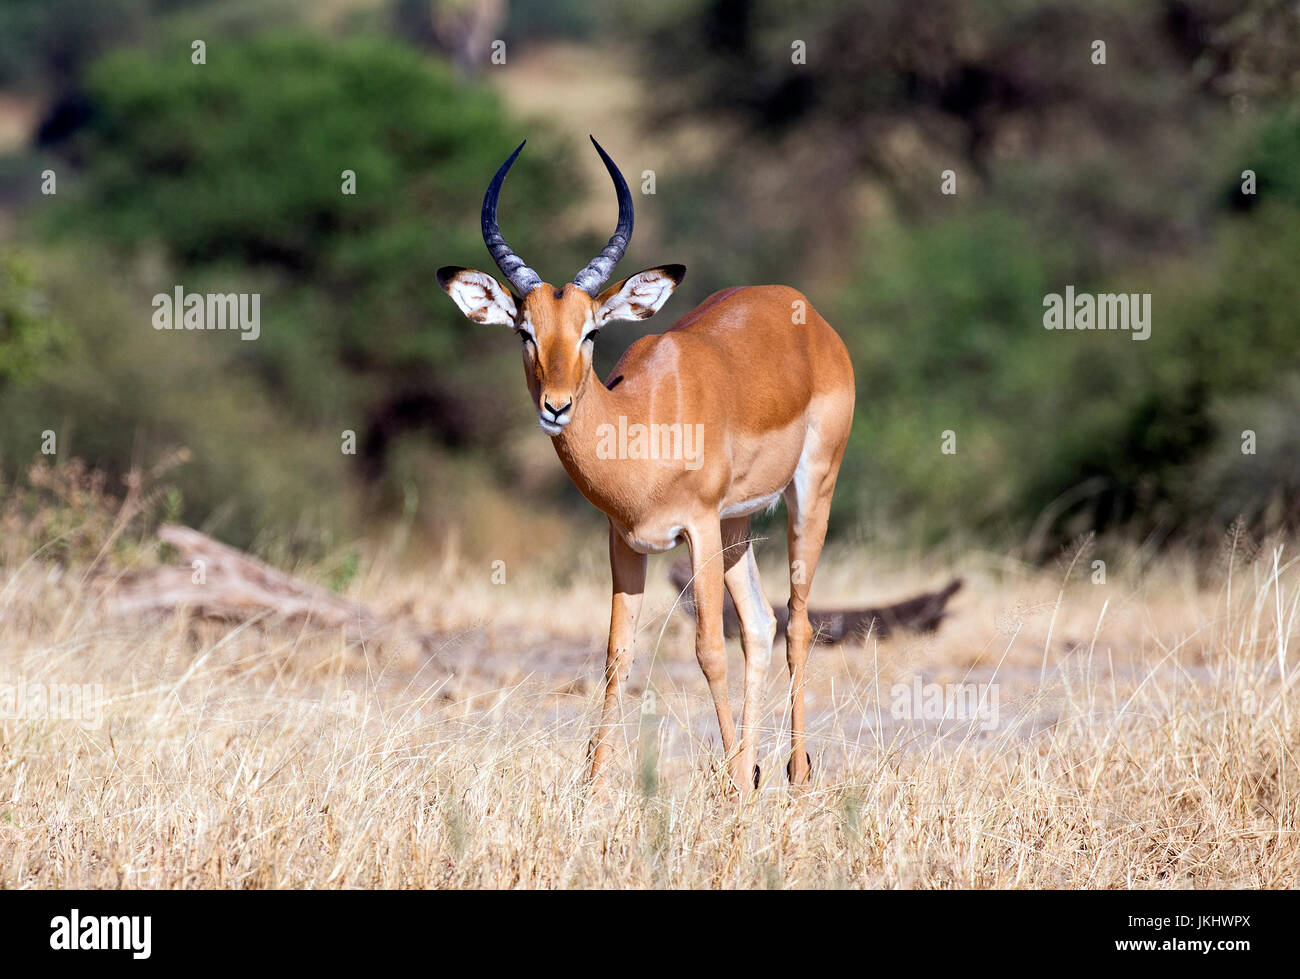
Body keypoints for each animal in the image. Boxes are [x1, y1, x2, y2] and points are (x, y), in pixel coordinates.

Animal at [437, 137, 855, 797]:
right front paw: (592, 787)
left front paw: (731, 788)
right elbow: (618, 656)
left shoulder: (697, 527)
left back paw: (793, 773)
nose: (556, 406)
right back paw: (755, 768)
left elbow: (708, 648)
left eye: (589, 331)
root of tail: (807, 313)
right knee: (760, 625)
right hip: (737, 527)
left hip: (810, 492)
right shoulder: (625, 540)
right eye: (524, 331)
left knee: (797, 625)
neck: (640, 425)